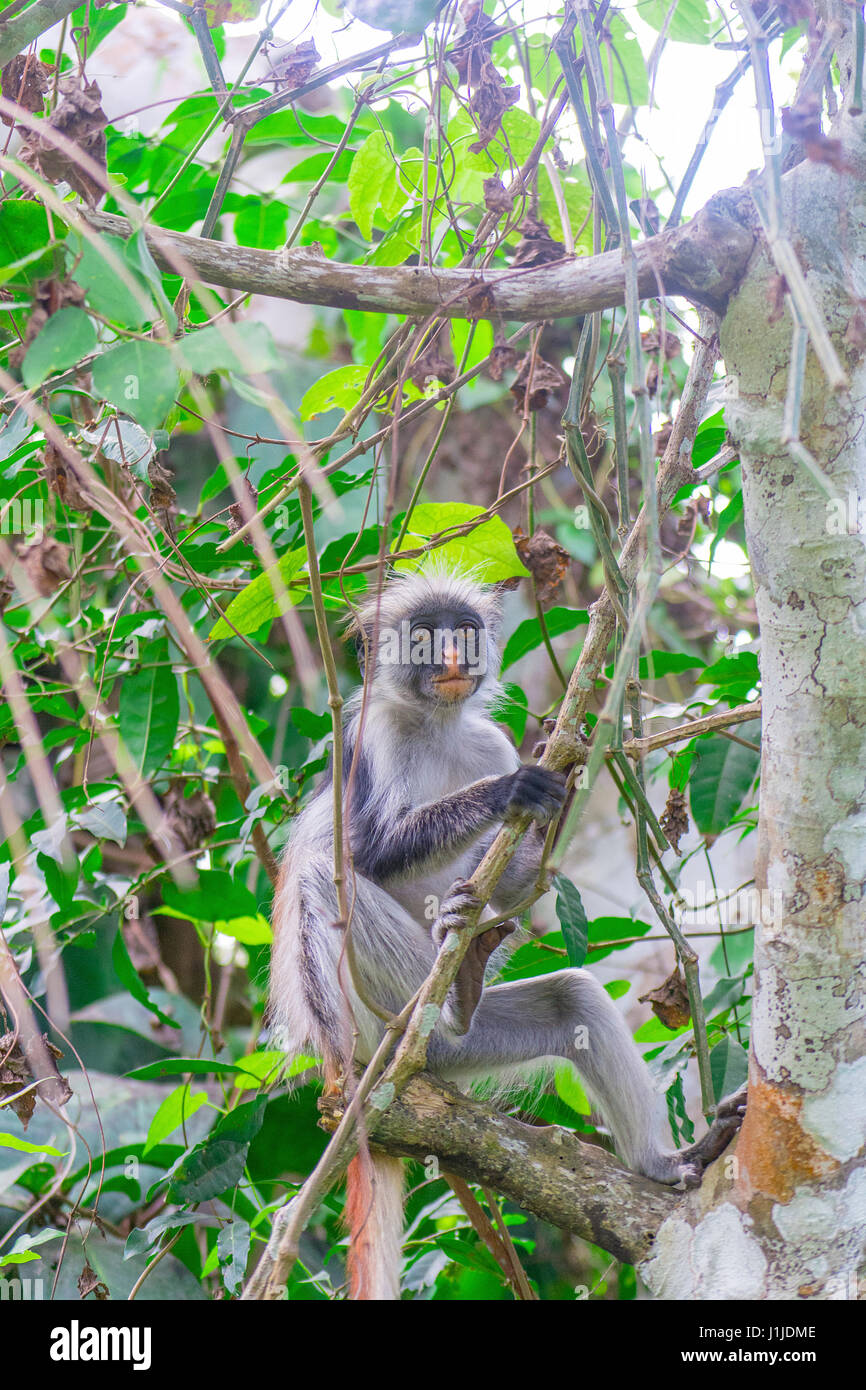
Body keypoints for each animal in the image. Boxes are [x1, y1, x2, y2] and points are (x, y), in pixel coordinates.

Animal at [269, 567, 747, 1300]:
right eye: (427, 637)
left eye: (463, 634)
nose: (454, 658)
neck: (435, 725)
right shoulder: (370, 734)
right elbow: (363, 856)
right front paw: (510, 791)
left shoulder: (484, 739)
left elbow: (521, 884)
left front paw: (562, 795)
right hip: (361, 1023)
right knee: (324, 874)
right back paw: (442, 1000)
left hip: (463, 1055)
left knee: (572, 999)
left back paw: (658, 1160)